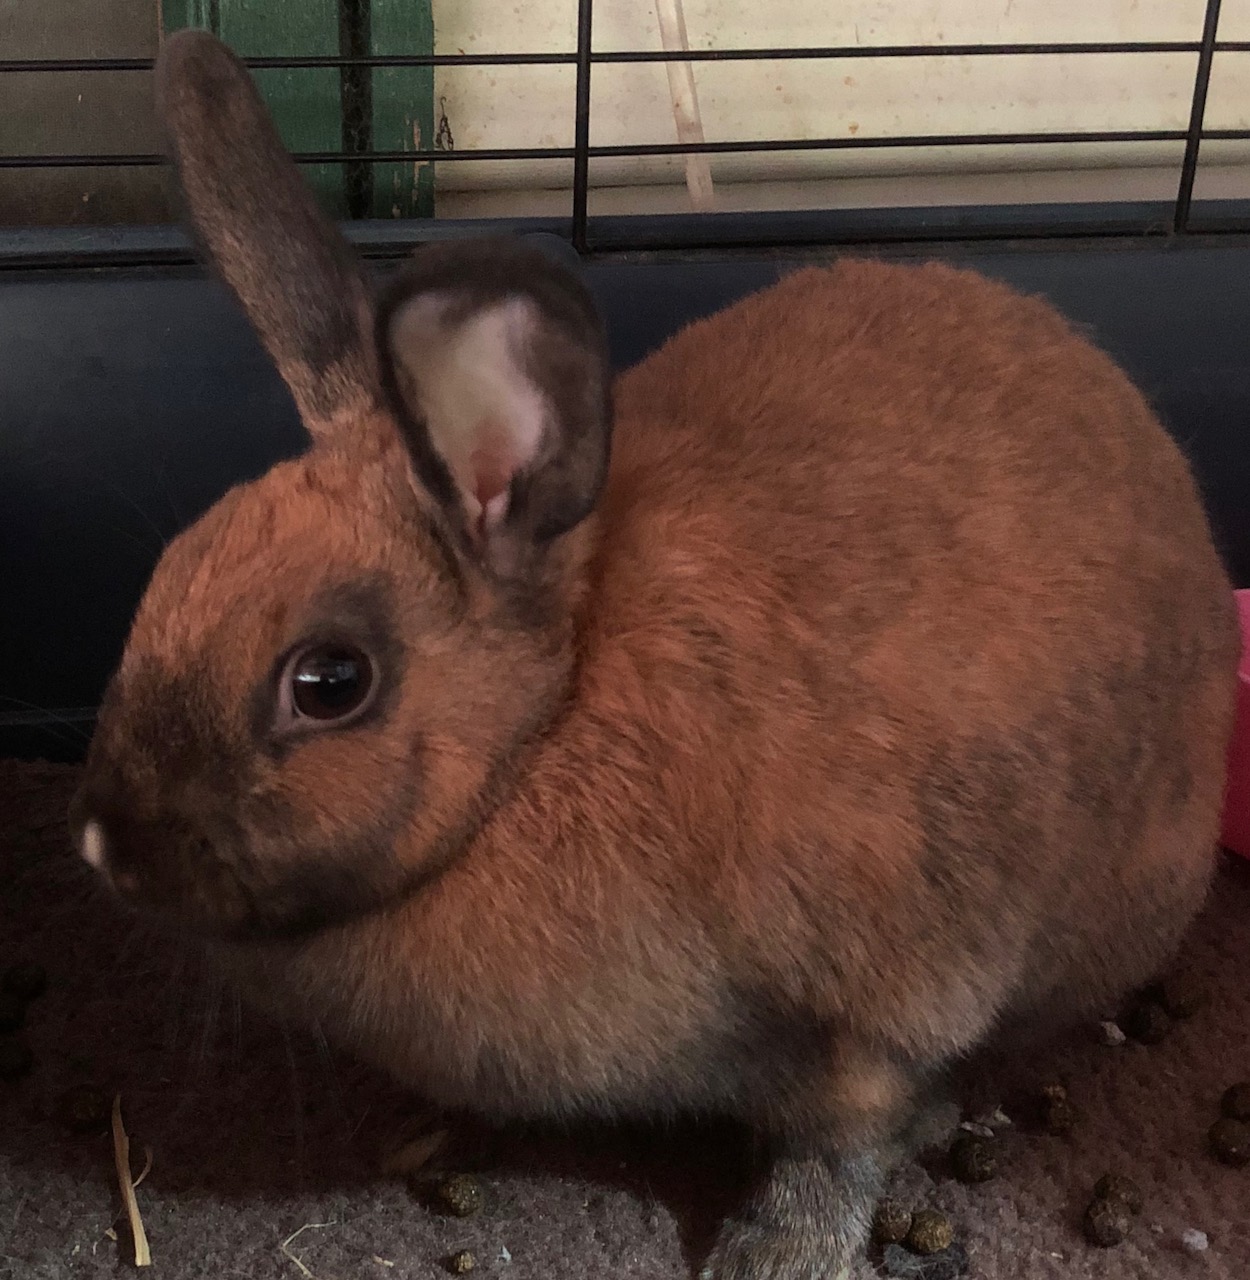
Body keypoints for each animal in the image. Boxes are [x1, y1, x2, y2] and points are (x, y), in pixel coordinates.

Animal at [68, 28, 1240, 1280]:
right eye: (169, 571)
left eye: (329, 681)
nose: (107, 843)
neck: (545, 731)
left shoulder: (879, 1000)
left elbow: (846, 1132)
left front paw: (778, 1249)